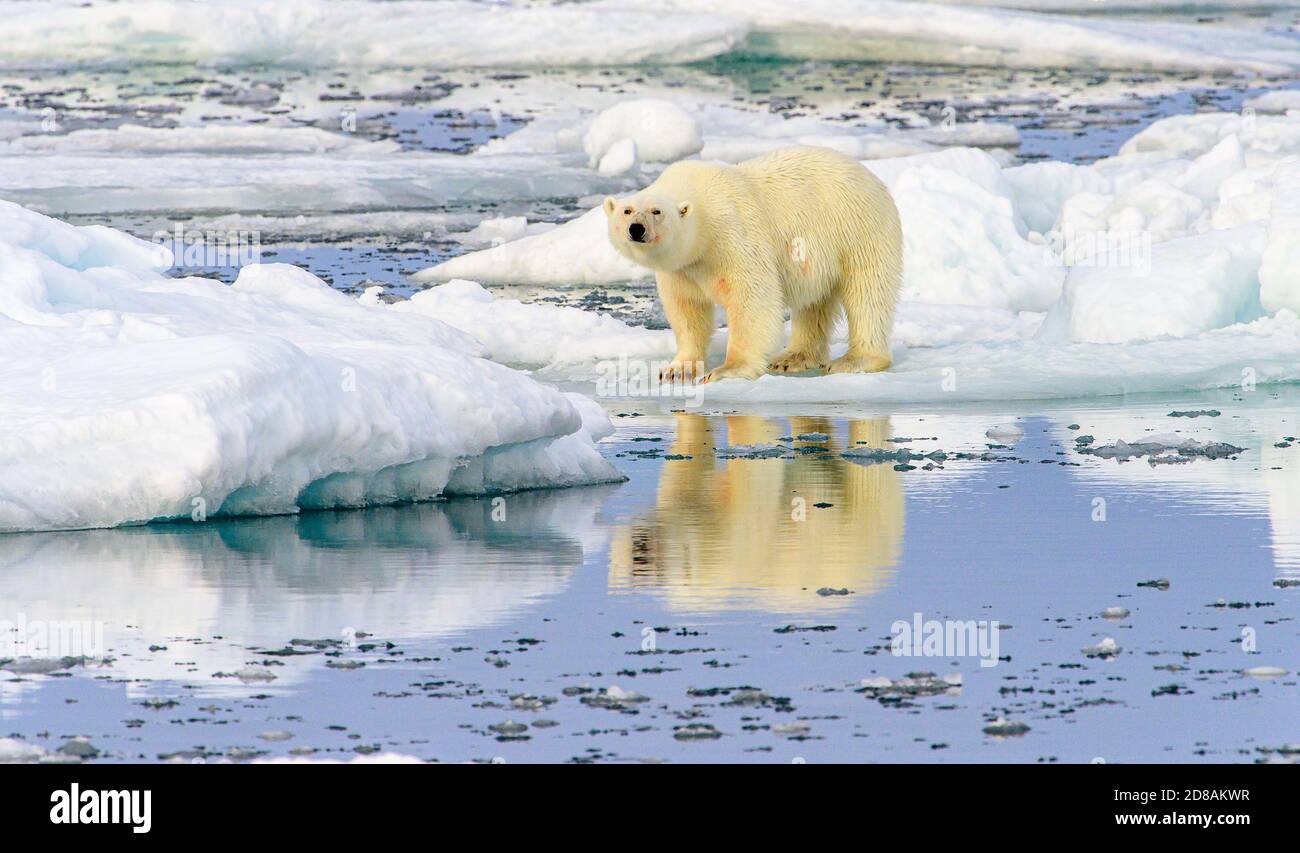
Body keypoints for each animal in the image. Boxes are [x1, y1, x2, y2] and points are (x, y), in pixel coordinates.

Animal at [603, 145, 902, 383]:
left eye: (657, 211)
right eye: (627, 210)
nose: (636, 229)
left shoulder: (731, 233)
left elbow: (752, 297)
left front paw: (725, 370)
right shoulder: (681, 269)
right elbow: (687, 309)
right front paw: (676, 369)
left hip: (858, 229)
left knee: (867, 293)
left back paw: (855, 360)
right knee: (813, 302)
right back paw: (792, 357)